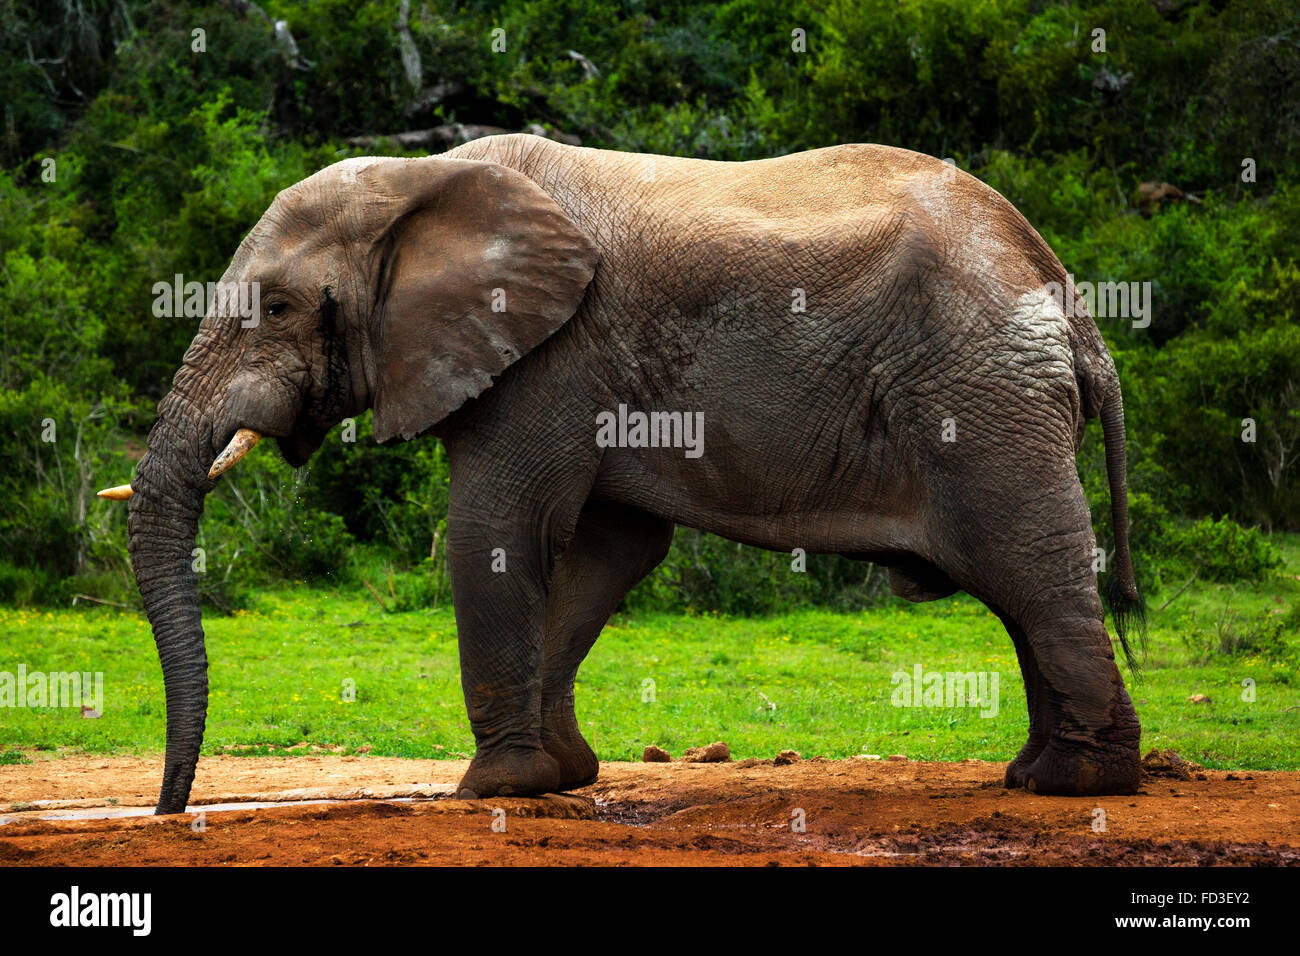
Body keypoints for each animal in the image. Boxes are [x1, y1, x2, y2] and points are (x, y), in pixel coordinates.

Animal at [102, 133, 1144, 813]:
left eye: (276, 307)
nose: (169, 810)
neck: (422, 180)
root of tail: (1067, 295)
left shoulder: (545, 359)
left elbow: (496, 531)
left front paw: (491, 788)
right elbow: (611, 552)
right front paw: (563, 776)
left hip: (981, 396)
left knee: (1027, 567)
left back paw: (1076, 787)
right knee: (1020, 587)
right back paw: (1032, 777)